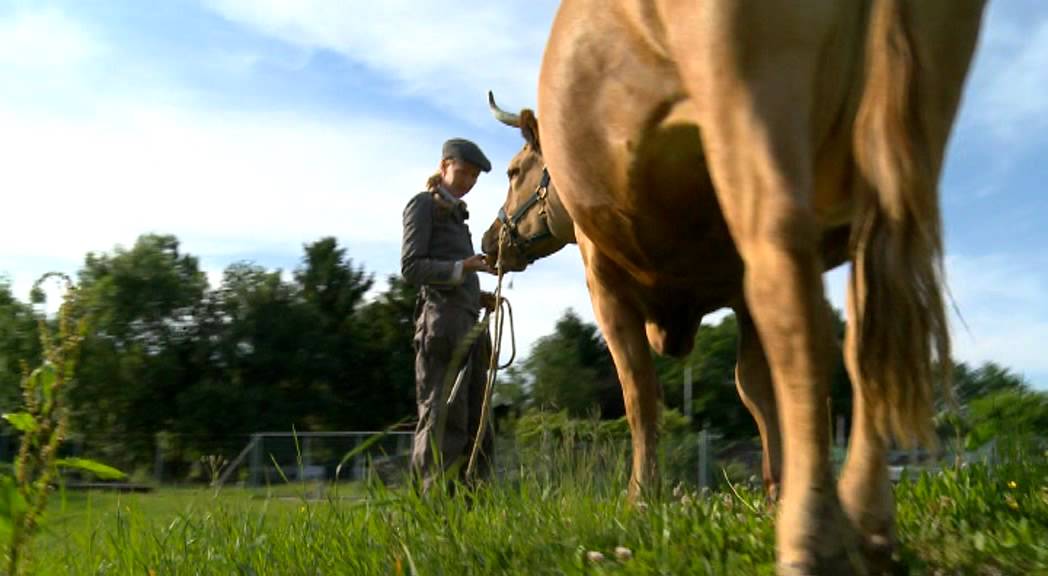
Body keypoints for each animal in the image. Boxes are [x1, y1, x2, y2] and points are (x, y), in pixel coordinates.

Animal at [481, 1, 987, 573]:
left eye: (514, 171)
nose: (491, 239)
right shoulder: (734, 290)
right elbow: (755, 389)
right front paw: (774, 490)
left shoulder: (602, 279)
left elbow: (641, 393)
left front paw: (642, 499)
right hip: (911, 137)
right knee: (869, 334)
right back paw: (868, 521)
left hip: (751, 112)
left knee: (800, 312)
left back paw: (812, 536)